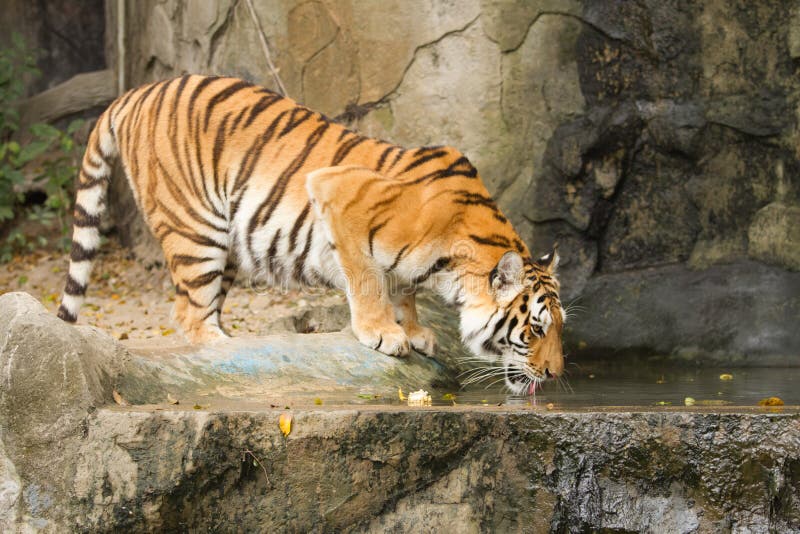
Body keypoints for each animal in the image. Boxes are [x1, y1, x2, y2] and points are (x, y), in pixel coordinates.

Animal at [56, 74, 565, 393]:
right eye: (535, 329)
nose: (557, 374)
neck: (452, 261)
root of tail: (135, 92)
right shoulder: (338, 193)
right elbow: (367, 280)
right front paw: (384, 334)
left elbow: (401, 288)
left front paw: (415, 330)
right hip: (195, 226)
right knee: (188, 312)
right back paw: (222, 348)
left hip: (227, 245)